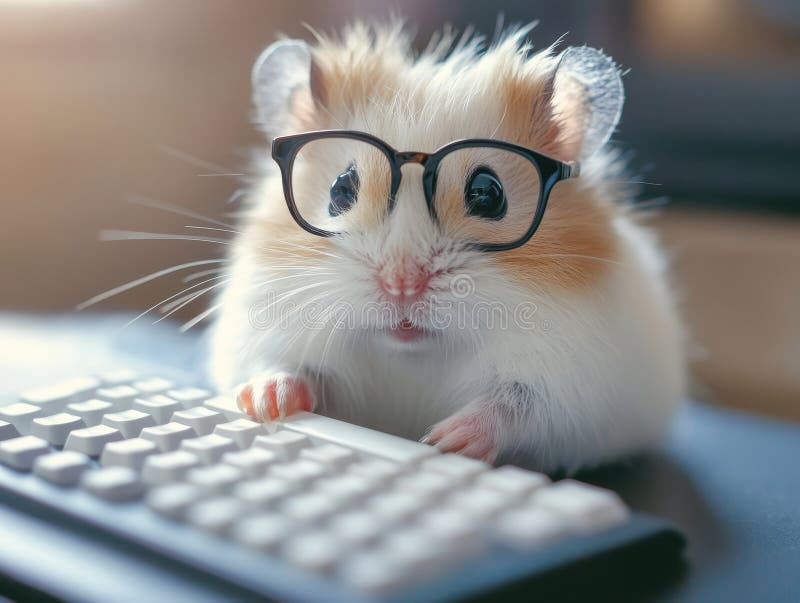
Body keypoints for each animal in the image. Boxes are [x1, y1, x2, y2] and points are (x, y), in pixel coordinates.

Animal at [209, 22, 686, 473]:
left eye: (487, 194)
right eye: (340, 190)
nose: (401, 284)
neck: (413, 353)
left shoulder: (577, 385)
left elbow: (517, 405)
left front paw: (444, 440)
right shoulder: (260, 329)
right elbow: (282, 364)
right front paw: (266, 403)